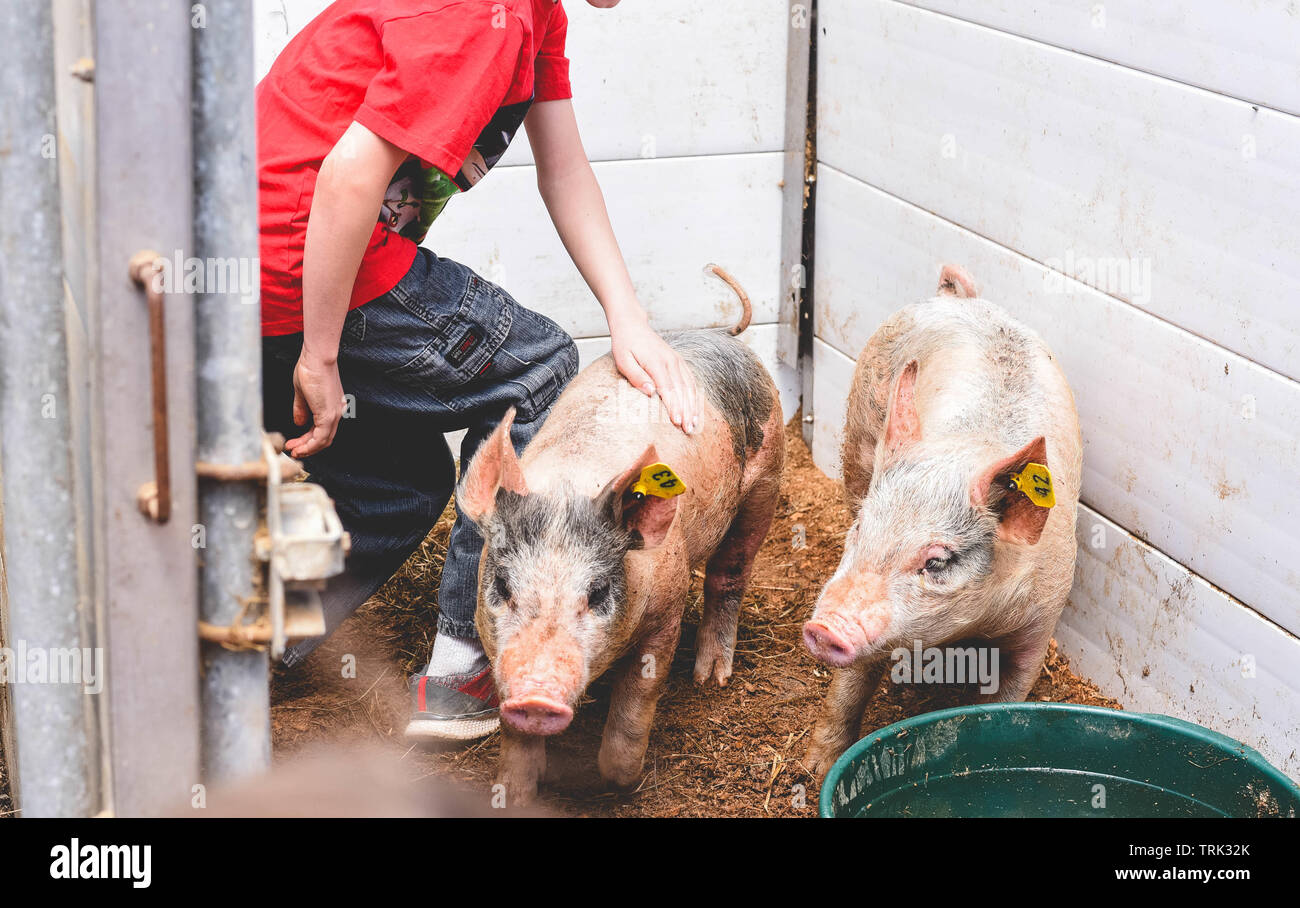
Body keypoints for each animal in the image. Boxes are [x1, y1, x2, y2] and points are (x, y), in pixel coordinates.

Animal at [457, 268, 785, 804]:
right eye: (503, 588)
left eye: (596, 592)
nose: (537, 696)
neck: (569, 483)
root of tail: (721, 334)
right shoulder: (496, 644)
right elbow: (515, 738)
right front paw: (516, 794)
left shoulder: (666, 609)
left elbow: (636, 703)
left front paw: (618, 783)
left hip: (766, 479)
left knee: (730, 573)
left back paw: (711, 679)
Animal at [802, 265, 1082, 778]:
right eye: (861, 531)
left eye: (936, 561)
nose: (824, 628)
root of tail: (957, 297)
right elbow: (849, 686)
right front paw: (814, 770)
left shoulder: (1043, 617)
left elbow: (1012, 692)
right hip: (861, 433)